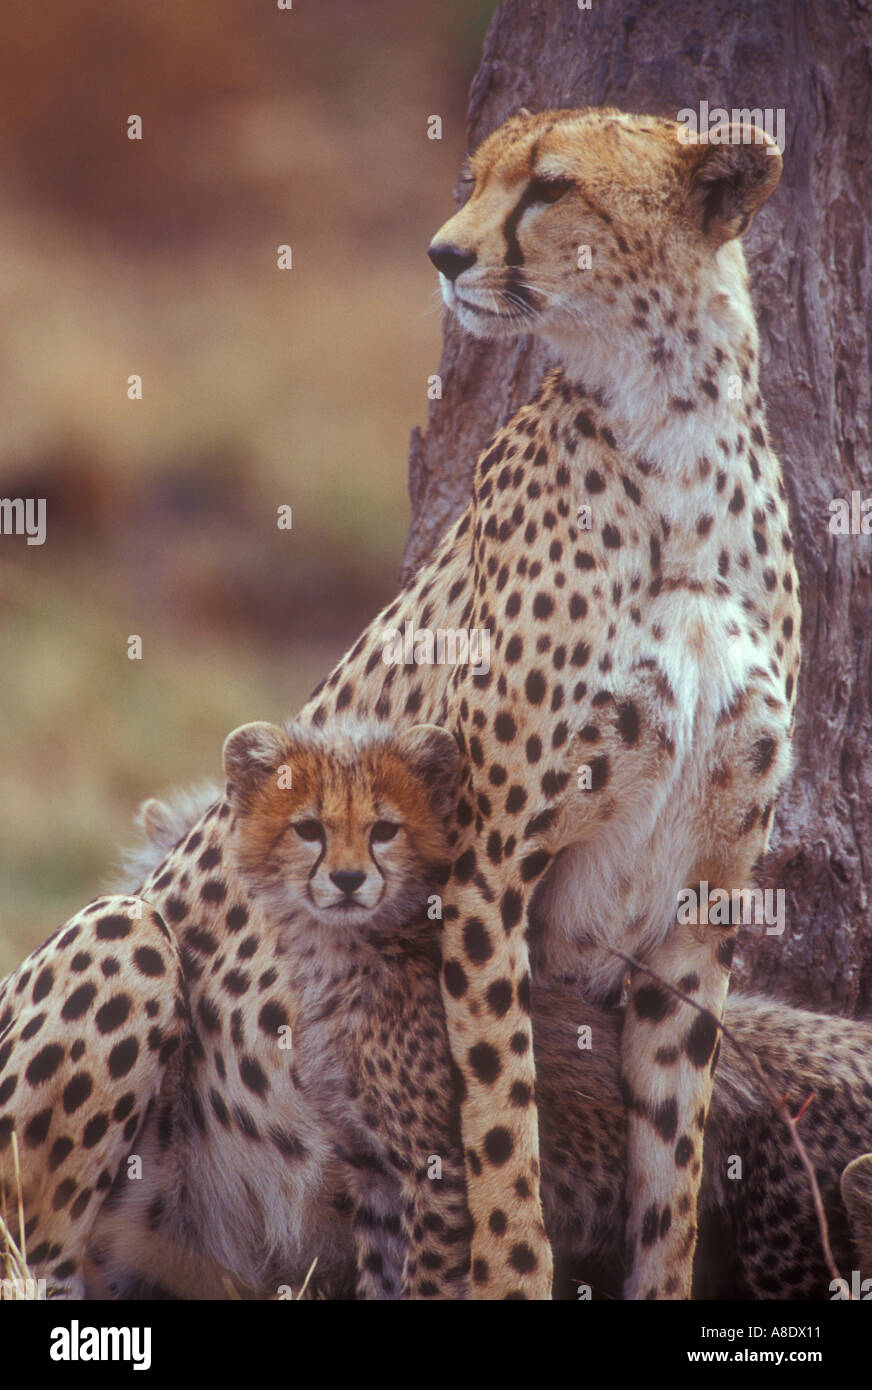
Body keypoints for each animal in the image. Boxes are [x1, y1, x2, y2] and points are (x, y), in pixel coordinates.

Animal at [3, 106, 802, 1300]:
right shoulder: (486, 872)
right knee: (30, 1241)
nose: (443, 254)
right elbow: (499, 1129)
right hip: (124, 938)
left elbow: (673, 1158)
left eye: (550, 187)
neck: (673, 431)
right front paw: (514, 1276)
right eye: (472, 179)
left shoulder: (696, 899)